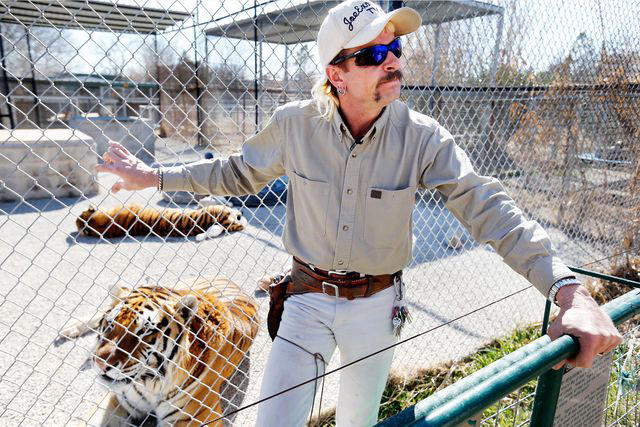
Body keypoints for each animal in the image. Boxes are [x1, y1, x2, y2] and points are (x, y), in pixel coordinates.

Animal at [56, 277, 259, 426]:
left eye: (144, 332)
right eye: (111, 324)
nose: (100, 363)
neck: (150, 383)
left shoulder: (194, 418)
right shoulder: (118, 401)